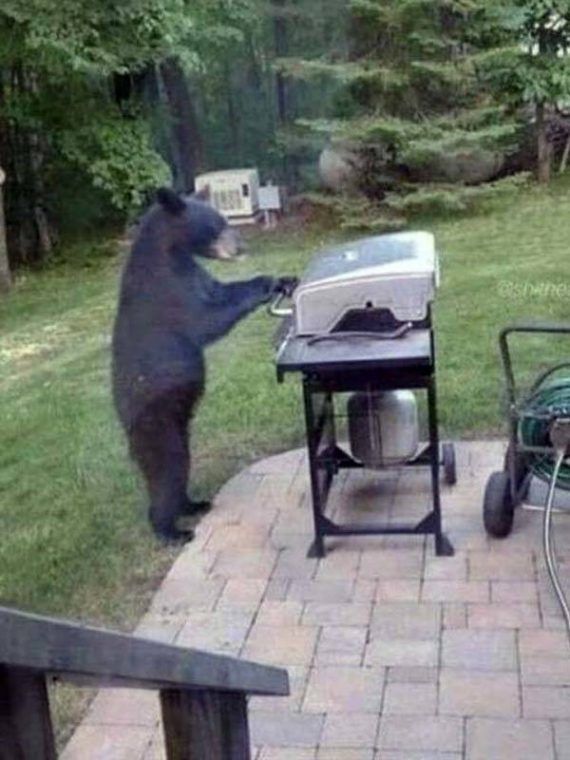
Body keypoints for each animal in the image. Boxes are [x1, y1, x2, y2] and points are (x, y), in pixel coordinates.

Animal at [112, 187, 296, 542]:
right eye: (218, 223)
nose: (242, 246)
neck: (168, 253)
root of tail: (126, 429)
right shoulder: (169, 292)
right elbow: (207, 318)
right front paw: (266, 283)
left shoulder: (193, 273)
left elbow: (220, 290)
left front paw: (284, 279)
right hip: (157, 423)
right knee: (167, 469)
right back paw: (171, 529)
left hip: (180, 425)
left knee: (182, 466)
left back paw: (194, 503)